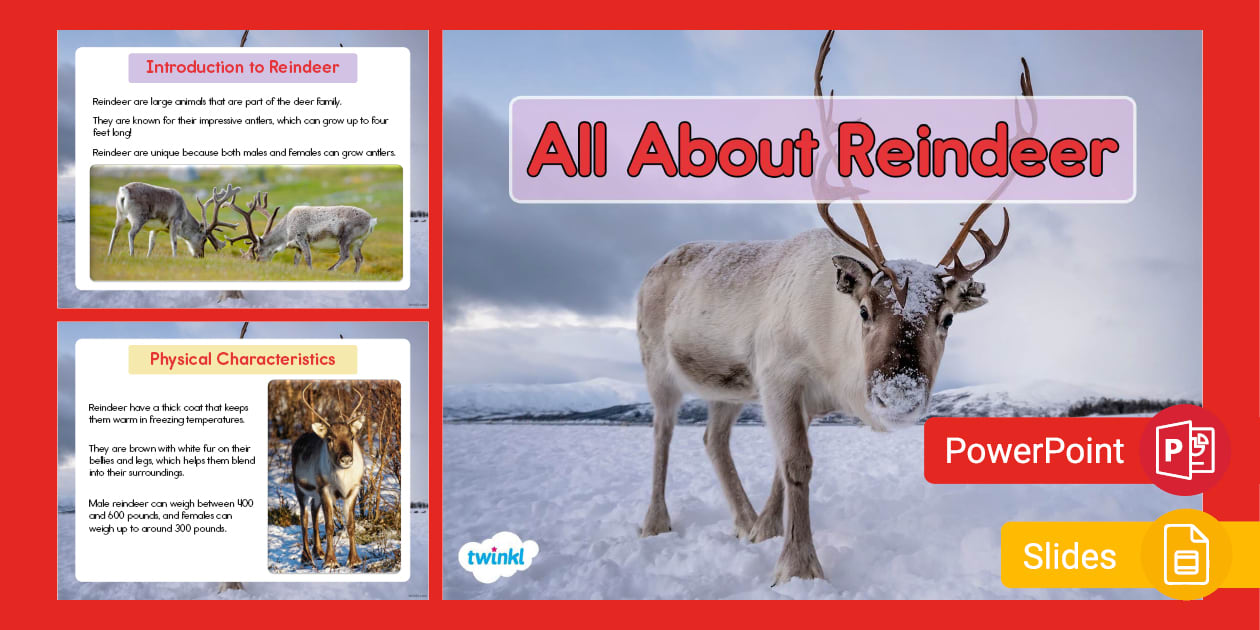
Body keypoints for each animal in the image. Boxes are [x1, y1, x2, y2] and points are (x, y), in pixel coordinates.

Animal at [106, 182, 237, 258]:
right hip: (138, 218)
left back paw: (109, 254)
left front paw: (148, 257)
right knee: (131, 233)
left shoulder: (156, 229)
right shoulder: (175, 222)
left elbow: (151, 244)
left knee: (115, 231)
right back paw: (132, 255)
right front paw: (175, 258)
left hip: (120, 216)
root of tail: (124, 190)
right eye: (204, 239)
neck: (184, 215)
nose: (200, 256)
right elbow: (174, 243)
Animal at [226, 192, 378, 273]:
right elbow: (296, 261)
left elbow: (308, 258)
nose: (259, 263)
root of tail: (371, 220)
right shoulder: (297, 246)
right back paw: (354, 275)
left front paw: (311, 272)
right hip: (357, 243)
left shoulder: (302, 239)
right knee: (359, 259)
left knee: (345, 255)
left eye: (257, 250)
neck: (286, 230)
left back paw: (329, 270)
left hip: (345, 239)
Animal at [291, 383, 367, 569]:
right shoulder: (325, 488)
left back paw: (318, 552)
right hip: (300, 489)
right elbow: (330, 525)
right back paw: (306, 557)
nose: (346, 458)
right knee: (304, 519)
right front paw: (331, 561)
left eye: (352, 436)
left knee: (313, 513)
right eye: (330, 438)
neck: (342, 481)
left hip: (315, 494)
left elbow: (351, 524)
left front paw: (354, 560)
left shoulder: (354, 489)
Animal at [636, 30, 1033, 585]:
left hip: (727, 386)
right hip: (658, 366)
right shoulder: (779, 375)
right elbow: (797, 465)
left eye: (948, 318)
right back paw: (655, 523)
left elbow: (781, 467)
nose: (898, 396)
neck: (832, 359)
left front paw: (765, 532)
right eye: (864, 310)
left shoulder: (796, 397)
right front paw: (799, 567)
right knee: (663, 433)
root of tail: (653, 268)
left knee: (713, 439)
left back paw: (742, 521)